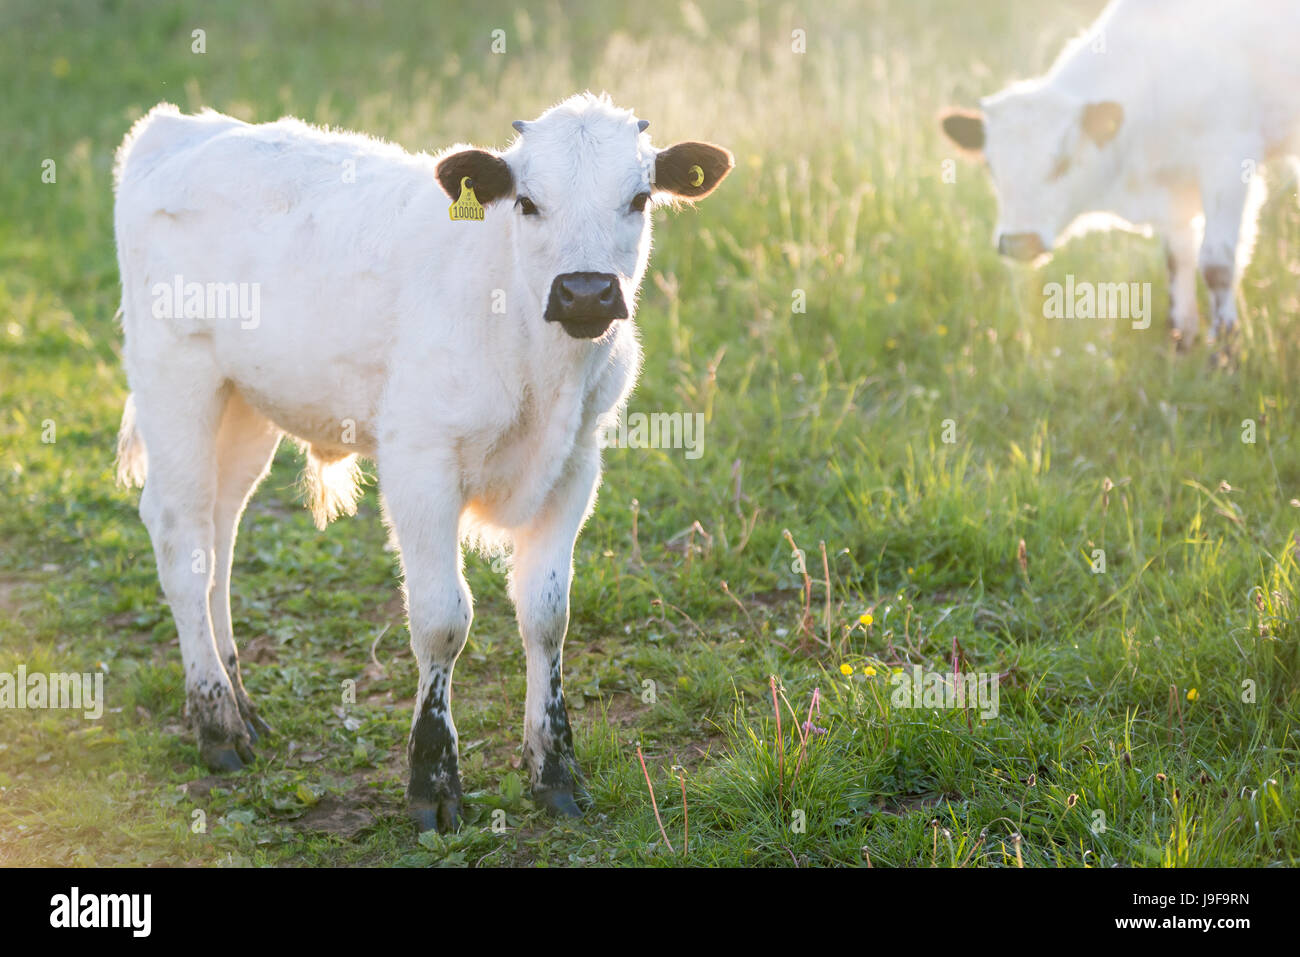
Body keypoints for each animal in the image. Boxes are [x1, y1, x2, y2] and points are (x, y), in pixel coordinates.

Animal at [112, 92, 733, 832]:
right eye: (527, 202)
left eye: (639, 199)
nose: (585, 292)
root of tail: (179, 126)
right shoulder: (419, 462)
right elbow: (441, 620)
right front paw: (433, 780)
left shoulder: (577, 463)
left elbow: (547, 613)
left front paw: (554, 771)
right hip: (177, 378)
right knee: (181, 537)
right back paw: (217, 724)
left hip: (244, 403)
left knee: (220, 532)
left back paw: (241, 700)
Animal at [940, 0, 1300, 347]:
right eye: (990, 166)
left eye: (1064, 162)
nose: (1018, 242)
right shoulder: (1175, 191)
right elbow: (1177, 260)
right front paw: (1181, 343)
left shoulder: (1228, 159)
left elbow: (1217, 265)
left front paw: (1224, 352)